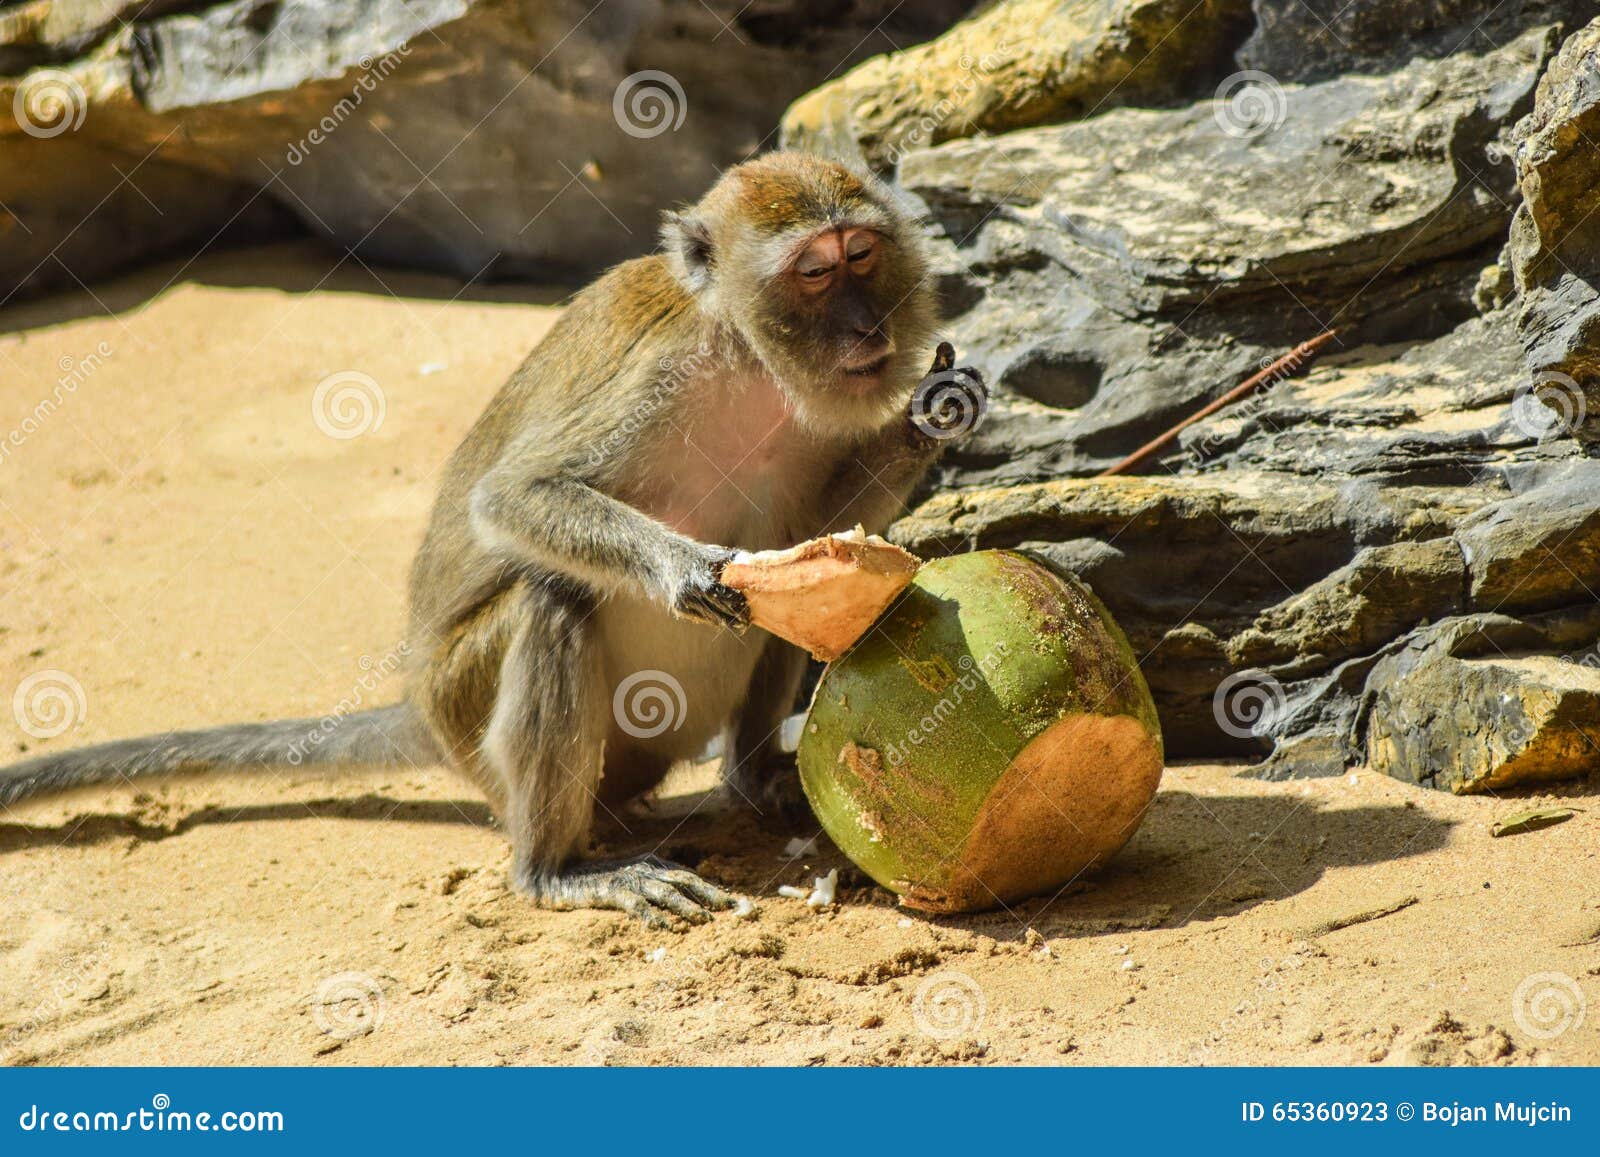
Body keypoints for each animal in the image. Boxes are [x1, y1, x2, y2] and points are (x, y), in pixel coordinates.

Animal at [0, 152, 985, 926]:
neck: (747, 354)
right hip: (467, 707)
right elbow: (516, 494)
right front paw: (685, 565)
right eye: (814, 273)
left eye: (862, 254)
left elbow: (810, 544)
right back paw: (553, 871)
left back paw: (751, 781)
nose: (868, 328)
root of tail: (420, 711)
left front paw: (930, 418)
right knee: (553, 599)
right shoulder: (662, 372)